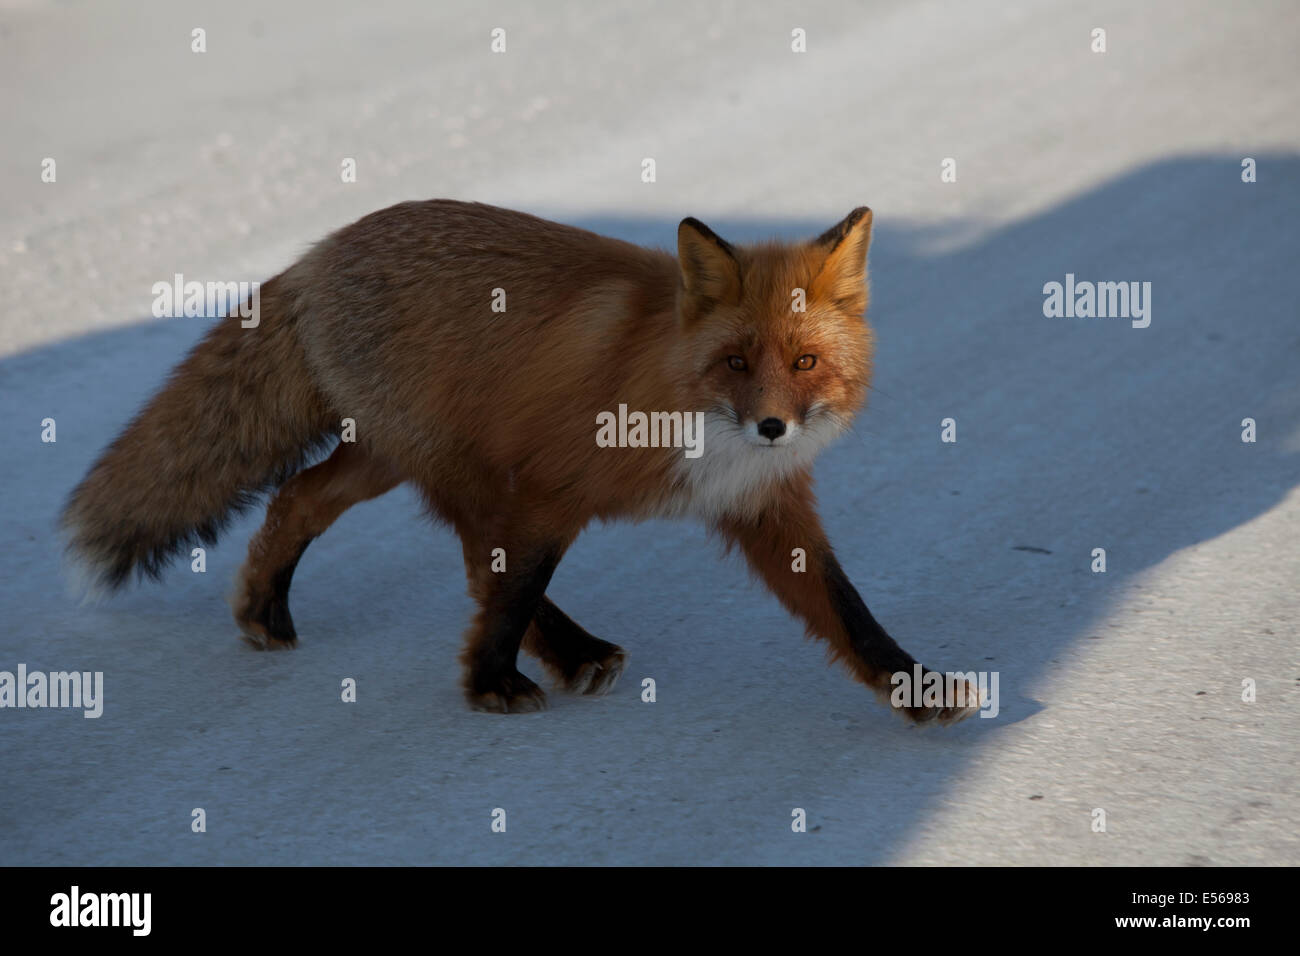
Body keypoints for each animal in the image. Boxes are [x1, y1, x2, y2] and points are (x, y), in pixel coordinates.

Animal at [62, 200, 982, 723]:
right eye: (734, 362)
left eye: (804, 363)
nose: (771, 429)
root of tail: (318, 253)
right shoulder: (548, 488)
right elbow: (512, 589)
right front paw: (489, 684)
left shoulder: (763, 505)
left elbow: (849, 611)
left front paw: (915, 690)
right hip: (454, 463)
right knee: (473, 561)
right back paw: (565, 656)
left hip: (386, 458)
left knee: (296, 499)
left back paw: (264, 611)